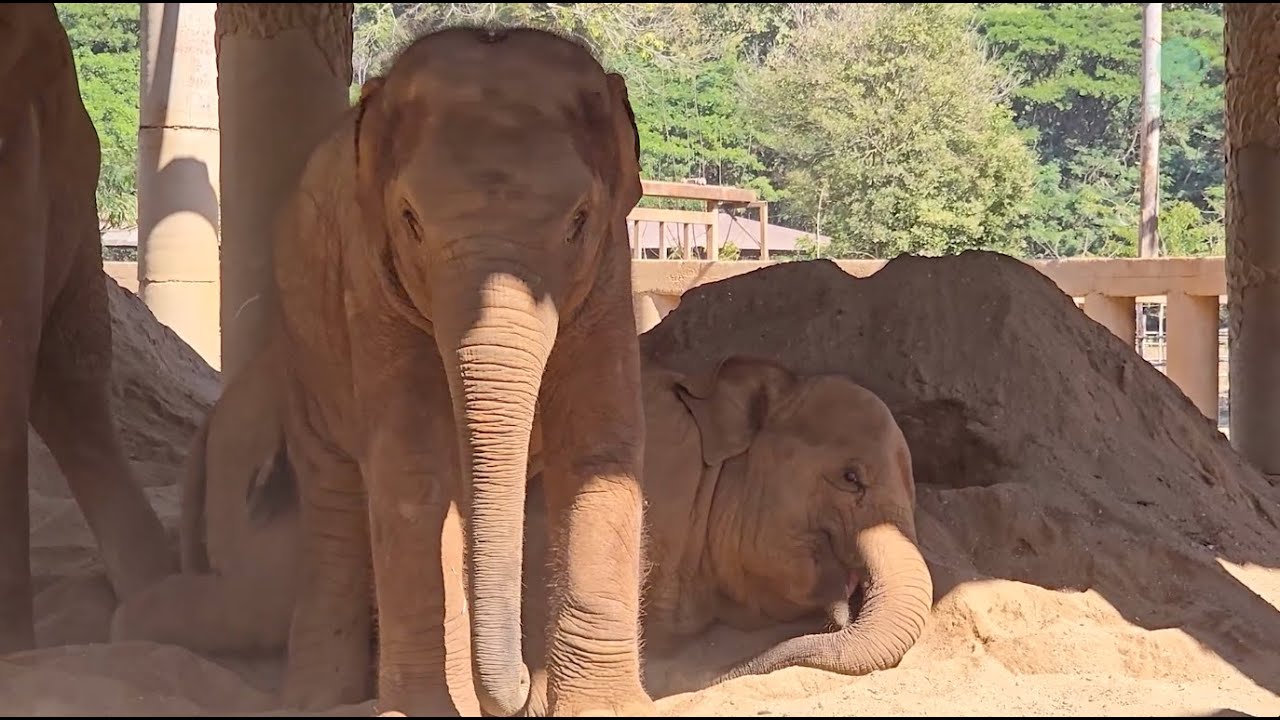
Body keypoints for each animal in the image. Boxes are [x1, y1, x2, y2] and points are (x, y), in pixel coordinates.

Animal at [216, 26, 651, 717]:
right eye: (411, 221)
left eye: (579, 221)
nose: (517, 693)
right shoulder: (370, 284)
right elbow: (412, 462)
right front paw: (426, 706)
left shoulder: (610, 276)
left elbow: (599, 447)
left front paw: (601, 707)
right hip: (306, 352)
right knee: (335, 498)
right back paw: (317, 699)